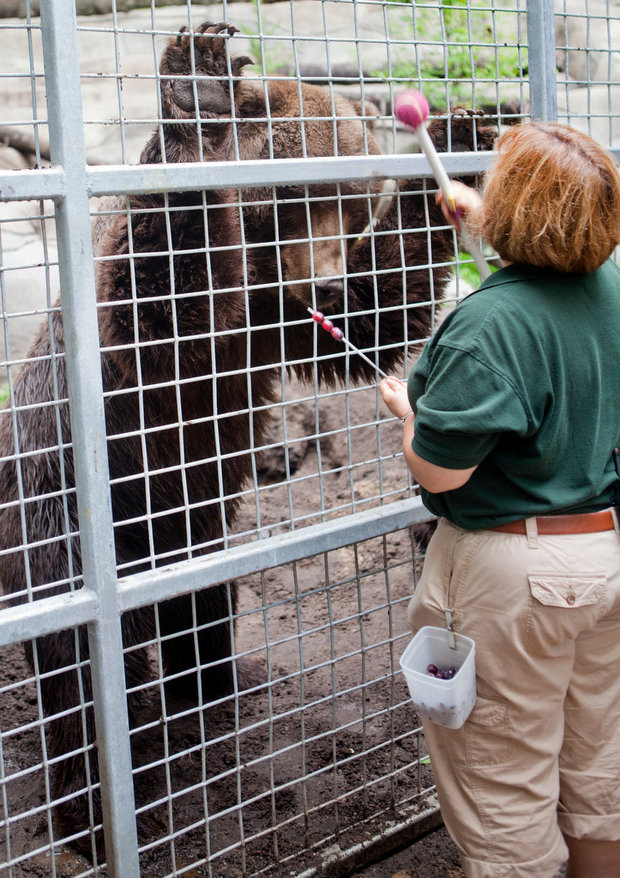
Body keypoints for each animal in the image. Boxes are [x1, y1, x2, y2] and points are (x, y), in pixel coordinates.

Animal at [0, 21, 495, 858]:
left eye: (352, 203)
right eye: (302, 196)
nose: (324, 283)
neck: (261, 266)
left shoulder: (274, 324)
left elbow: (377, 311)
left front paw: (464, 136)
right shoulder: (165, 343)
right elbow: (159, 298)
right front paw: (198, 87)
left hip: (191, 530)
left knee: (201, 602)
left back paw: (212, 690)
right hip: (67, 517)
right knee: (87, 675)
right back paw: (107, 817)